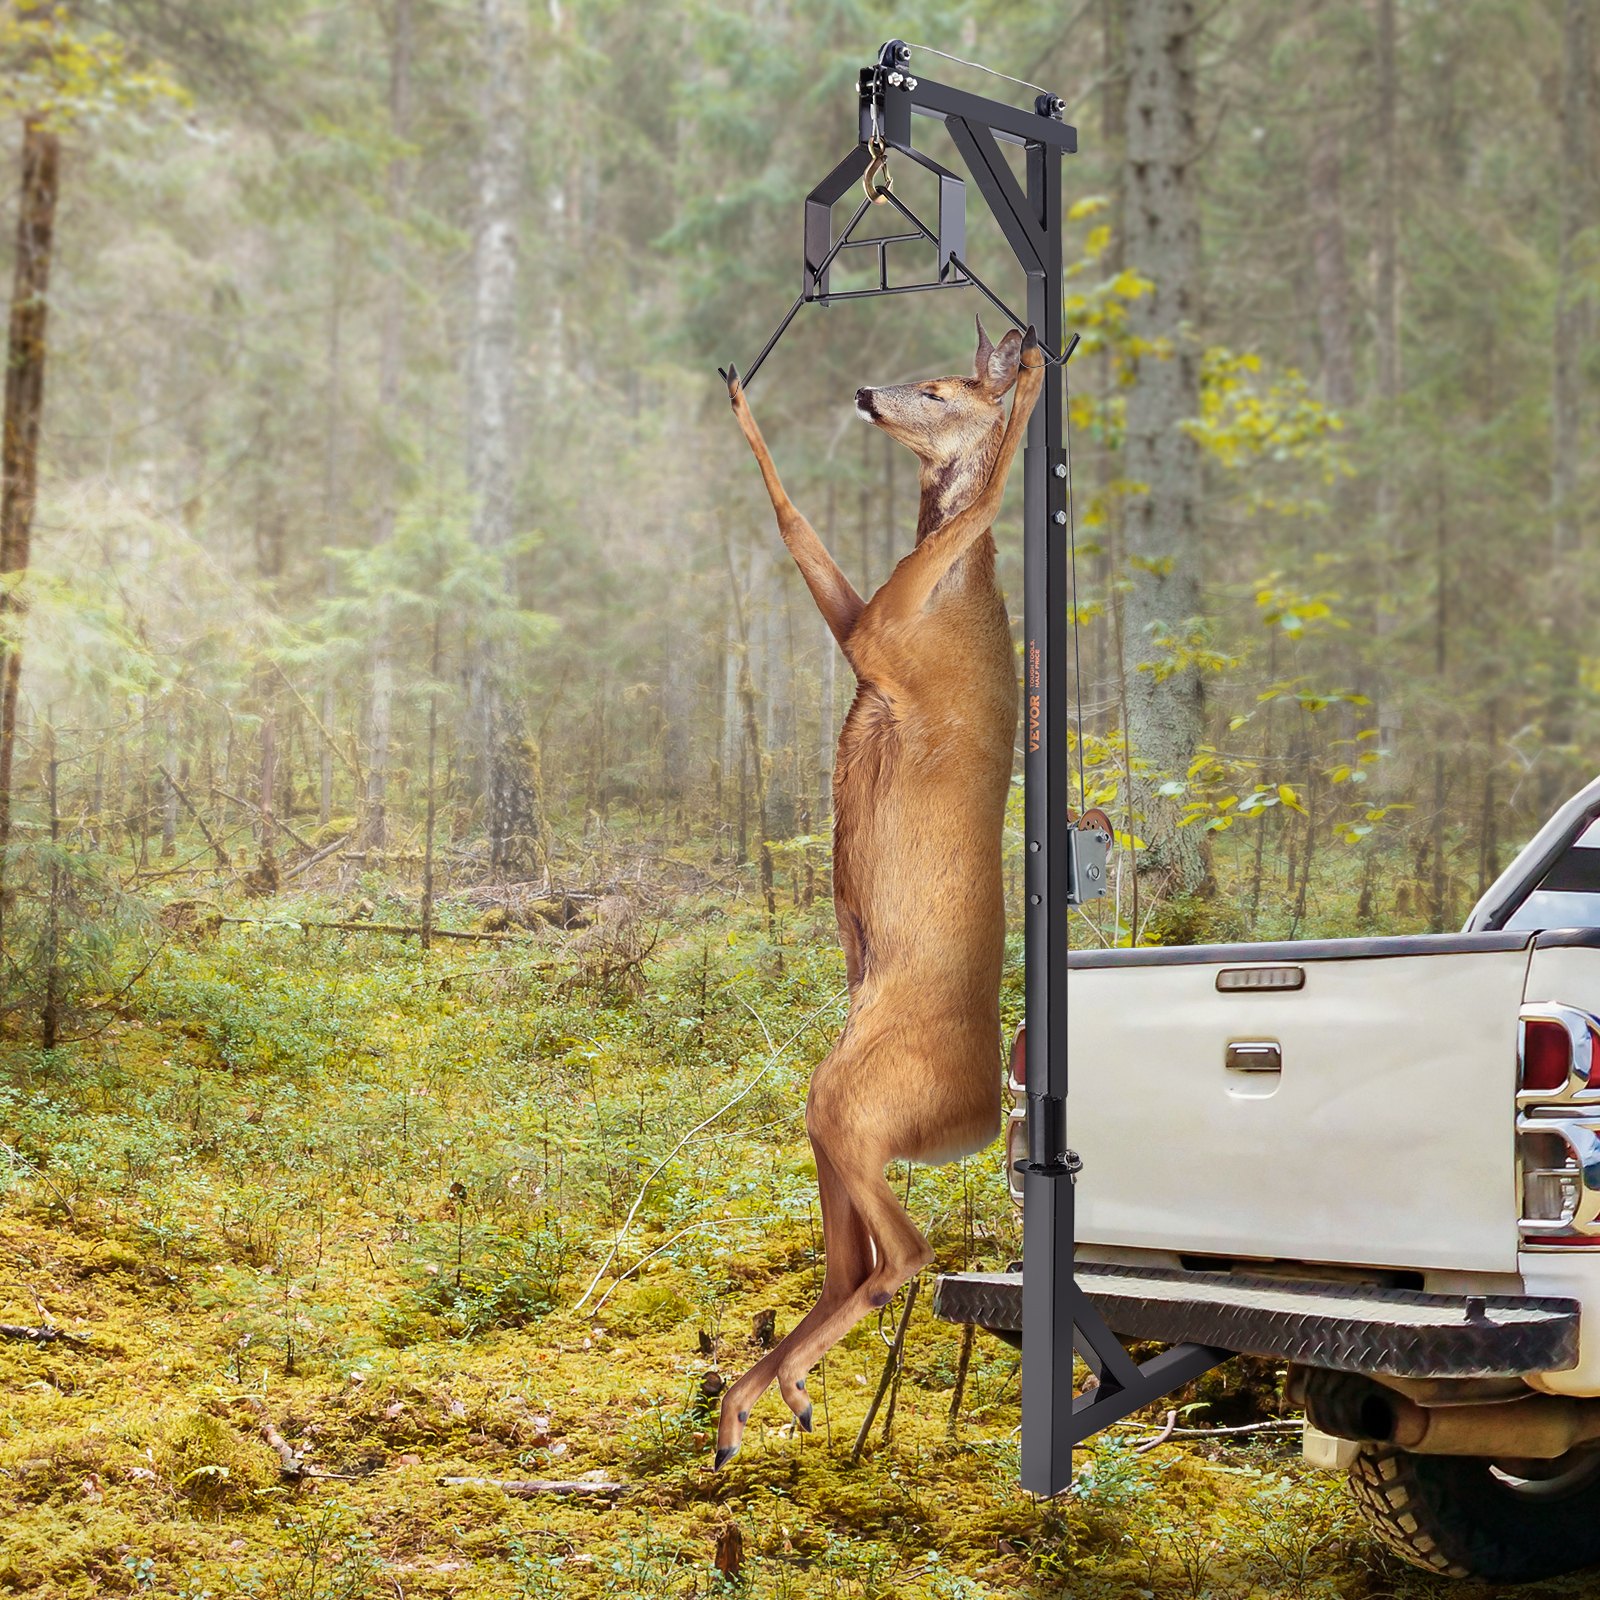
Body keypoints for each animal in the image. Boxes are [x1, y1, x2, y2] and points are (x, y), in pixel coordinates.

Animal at [714, 318, 1045, 1467]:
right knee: (852, 1262)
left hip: (854, 1098)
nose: (865, 391)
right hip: (838, 1109)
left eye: (941, 388)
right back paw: (757, 1401)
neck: (964, 595)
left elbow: (798, 515)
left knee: (902, 1251)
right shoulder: (871, 629)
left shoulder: (879, 636)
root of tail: (980, 1116)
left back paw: (768, 1394)